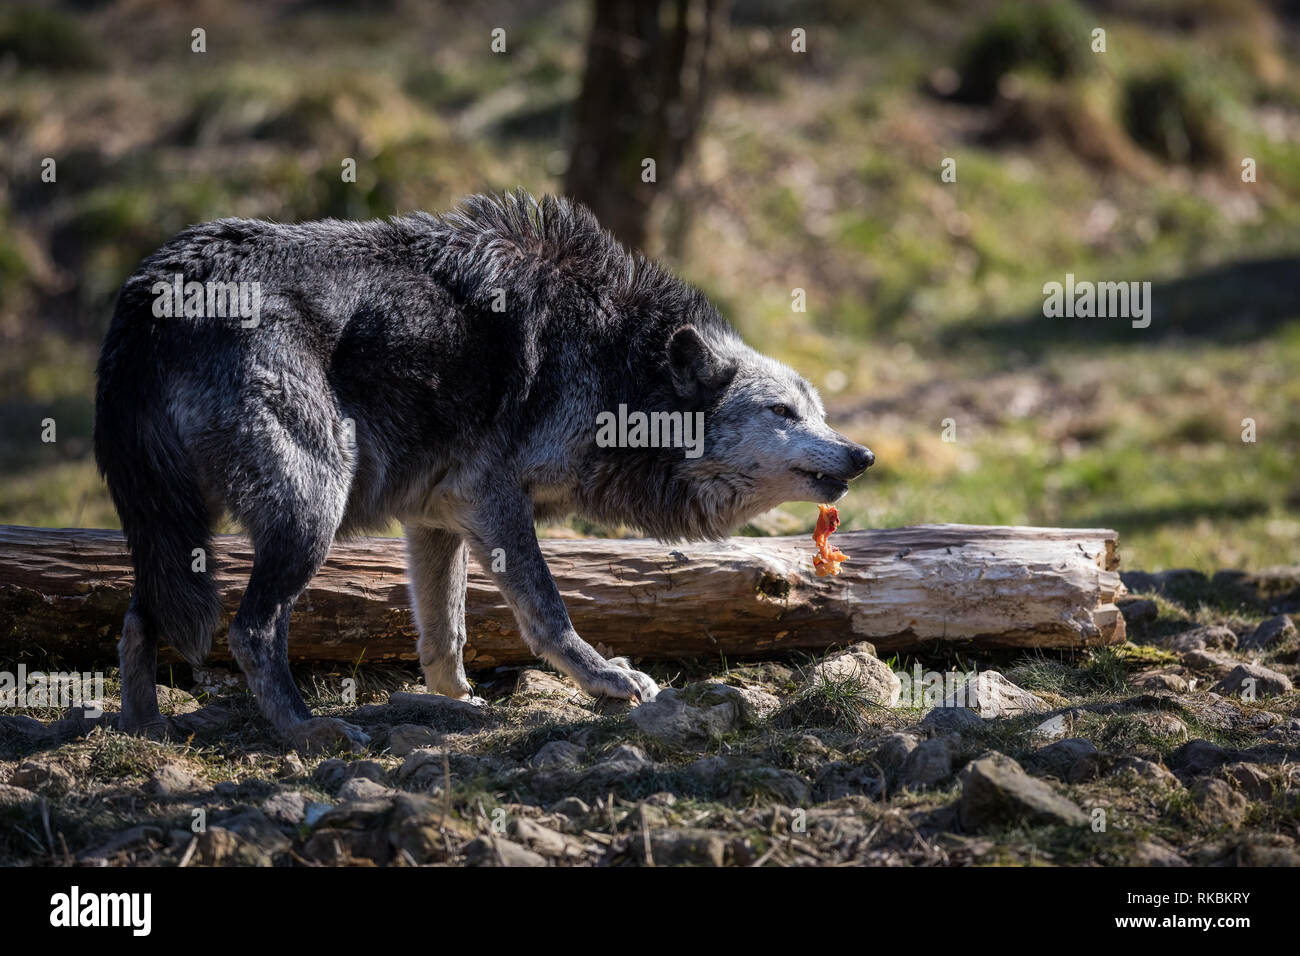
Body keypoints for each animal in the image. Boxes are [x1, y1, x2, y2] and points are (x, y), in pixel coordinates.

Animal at [95, 191, 874, 748]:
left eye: (818, 411)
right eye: (781, 412)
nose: (862, 455)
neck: (616, 365)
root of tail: (156, 283)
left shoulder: (435, 520)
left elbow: (445, 634)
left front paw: (460, 703)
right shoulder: (493, 501)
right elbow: (548, 613)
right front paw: (607, 681)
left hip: (176, 526)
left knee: (138, 616)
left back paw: (143, 730)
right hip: (310, 509)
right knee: (249, 631)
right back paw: (307, 731)